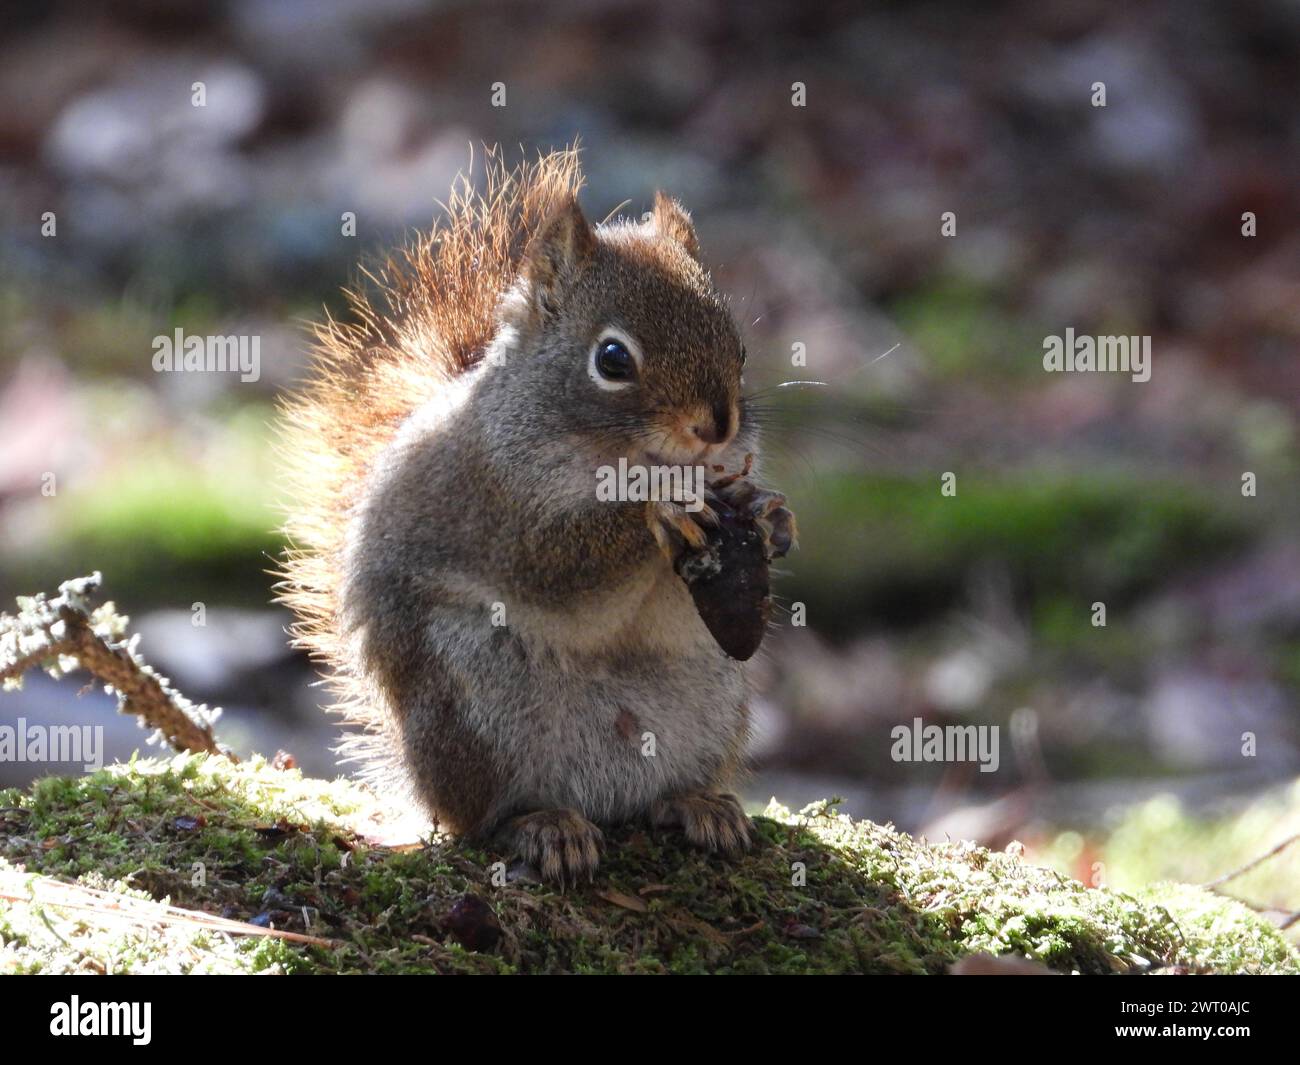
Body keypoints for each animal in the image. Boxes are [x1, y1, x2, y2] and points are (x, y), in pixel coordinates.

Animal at [277, 147, 796, 883]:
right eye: (612, 359)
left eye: (740, 349)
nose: (716, 426)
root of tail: (602, 793)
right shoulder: (495, 501)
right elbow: (556, 566)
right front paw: (658, 506)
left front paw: (768, 513)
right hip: (475, 707)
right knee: (478, 818)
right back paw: (542, 824)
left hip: (714, 701)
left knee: (661, 793)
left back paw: (694, 802)